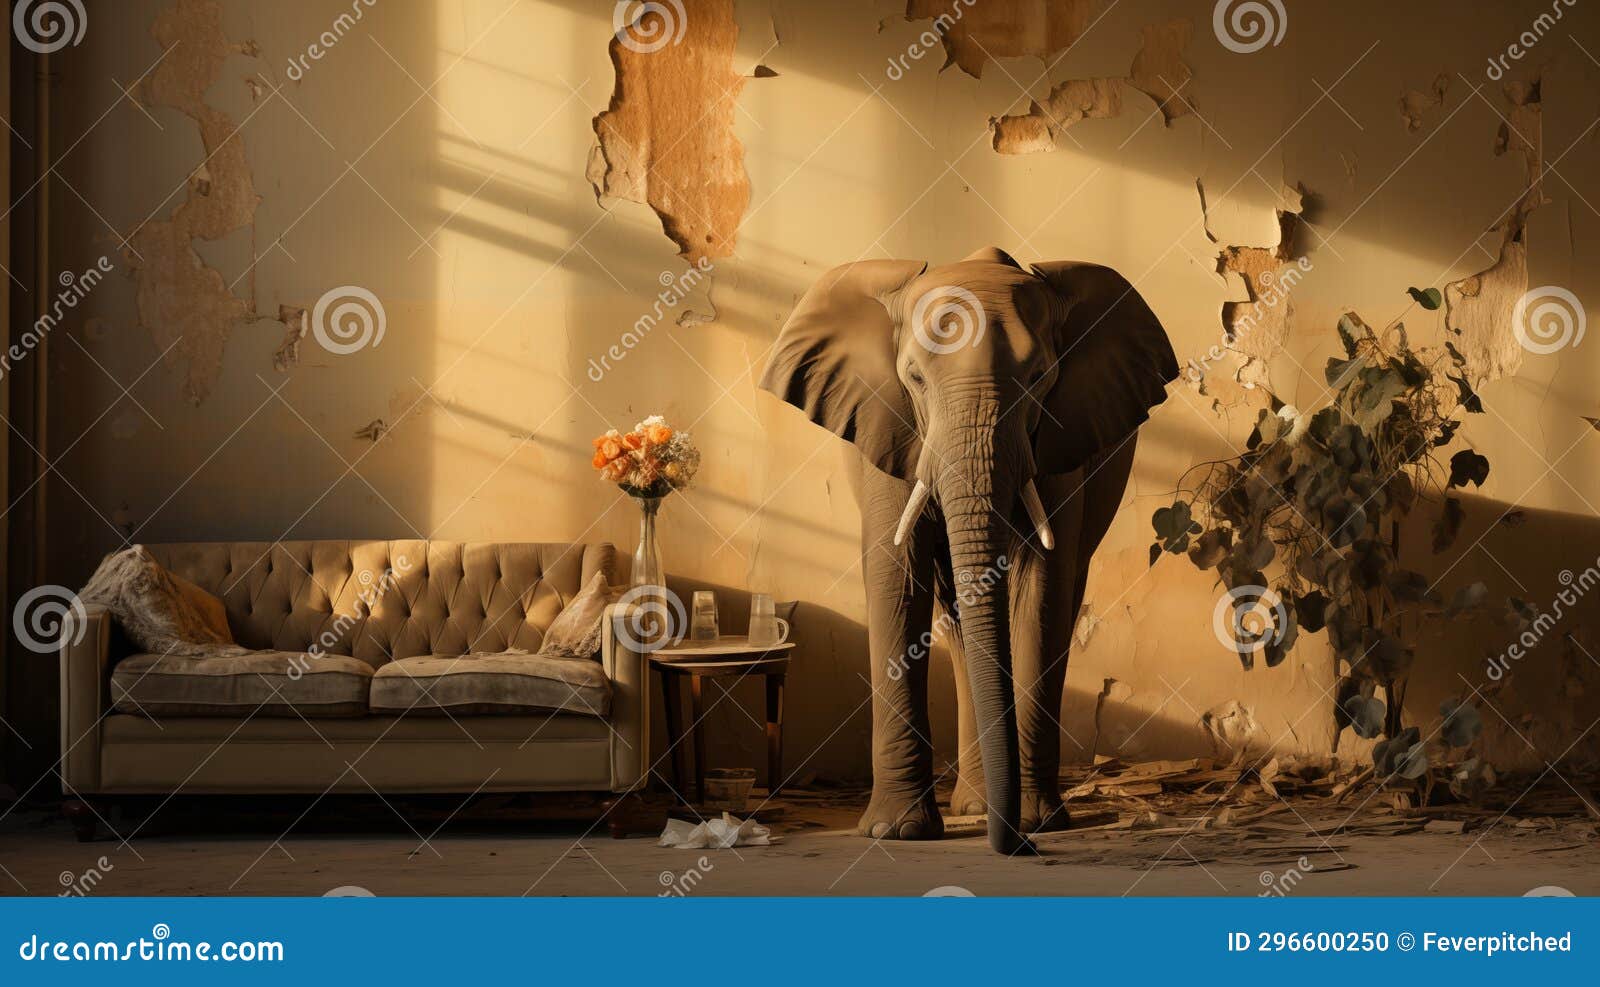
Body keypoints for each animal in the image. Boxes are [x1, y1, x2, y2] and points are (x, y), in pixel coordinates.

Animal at [759, 247, 1178, 854]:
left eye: (1040, 377)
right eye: (914, 378)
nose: (1021, 847)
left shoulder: (1059, 438)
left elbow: (1041, 587)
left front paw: (1036, 822)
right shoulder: (892, 427)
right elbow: (896, 575)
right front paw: (896, 832)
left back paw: (994, 809)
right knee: (955, 615)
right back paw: (978, 808)